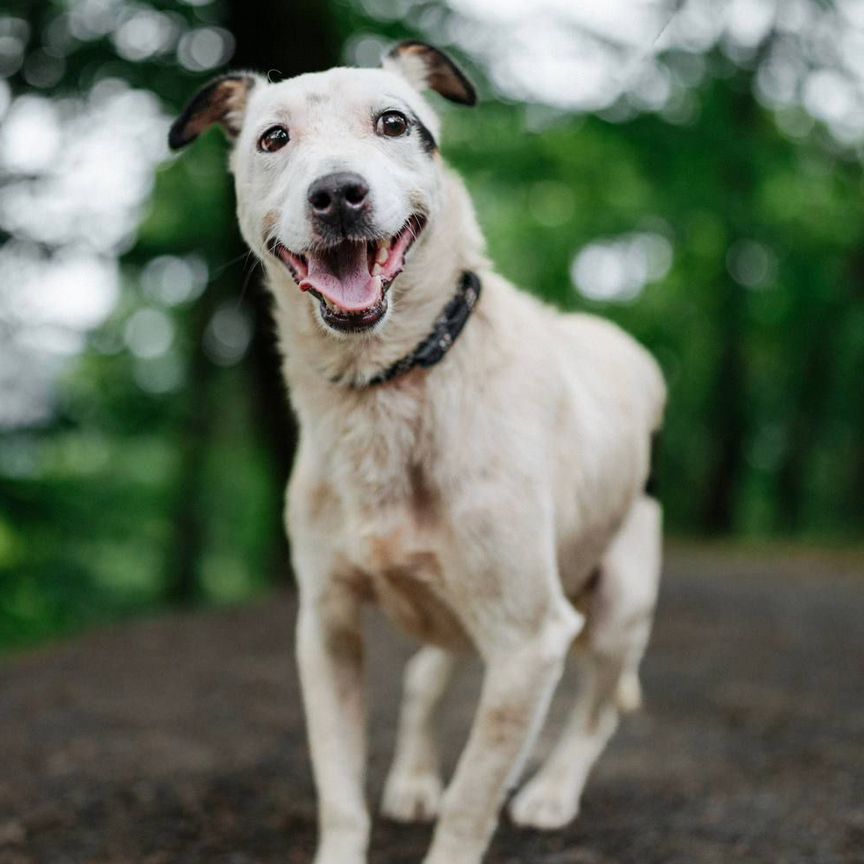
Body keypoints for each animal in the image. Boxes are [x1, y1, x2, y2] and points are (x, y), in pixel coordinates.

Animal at [170, 42, 668, 864]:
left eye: (395, 123)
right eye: (273, 139)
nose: (338, 194)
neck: (388, 383)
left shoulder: (530, 639)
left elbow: (470, 801)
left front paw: (477, 804)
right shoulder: (326, 628)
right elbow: (339, 788)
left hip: (620, 602)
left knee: (596, 709)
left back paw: (551, 791)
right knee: (428, 678)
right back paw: (413, 777)